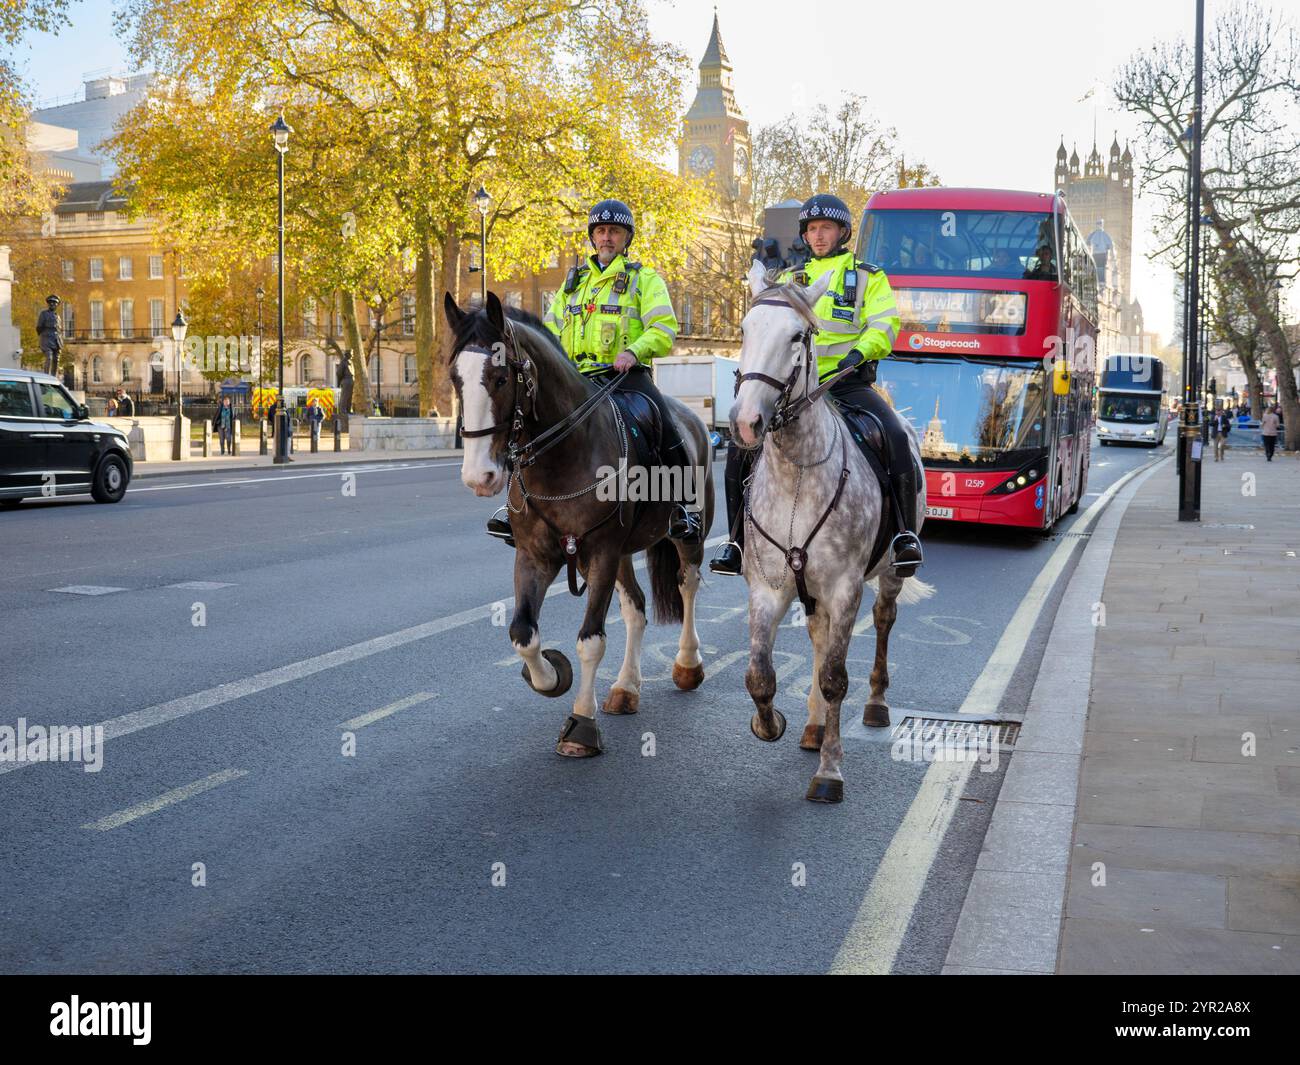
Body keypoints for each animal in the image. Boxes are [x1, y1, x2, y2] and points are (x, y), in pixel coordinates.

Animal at [445, 291, 716, 758]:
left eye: (501, 378)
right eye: (455, 379)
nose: (480, 477)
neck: (563, 456)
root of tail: (695, 418)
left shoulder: (601, 553)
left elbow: (591, 641)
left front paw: (581, 723)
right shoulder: (535, 556)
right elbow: (522, 634)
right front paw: (549, 677)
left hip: (686, 536)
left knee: (688, 586)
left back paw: (687, 664)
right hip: (624, 552)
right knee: (636, 610)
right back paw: (626, 687)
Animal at [730, 261, 935, 803]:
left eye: (797, 336)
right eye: (745, 330)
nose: (744, 423)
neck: (797, 476)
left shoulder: (845, 589)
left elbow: (836, 679)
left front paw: (829, 772)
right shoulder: (767, 589)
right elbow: (759, 675)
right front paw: (771, 724)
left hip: (890, 573)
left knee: (883, 621)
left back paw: (876, 704)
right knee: (819, 641)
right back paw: (813, 726)